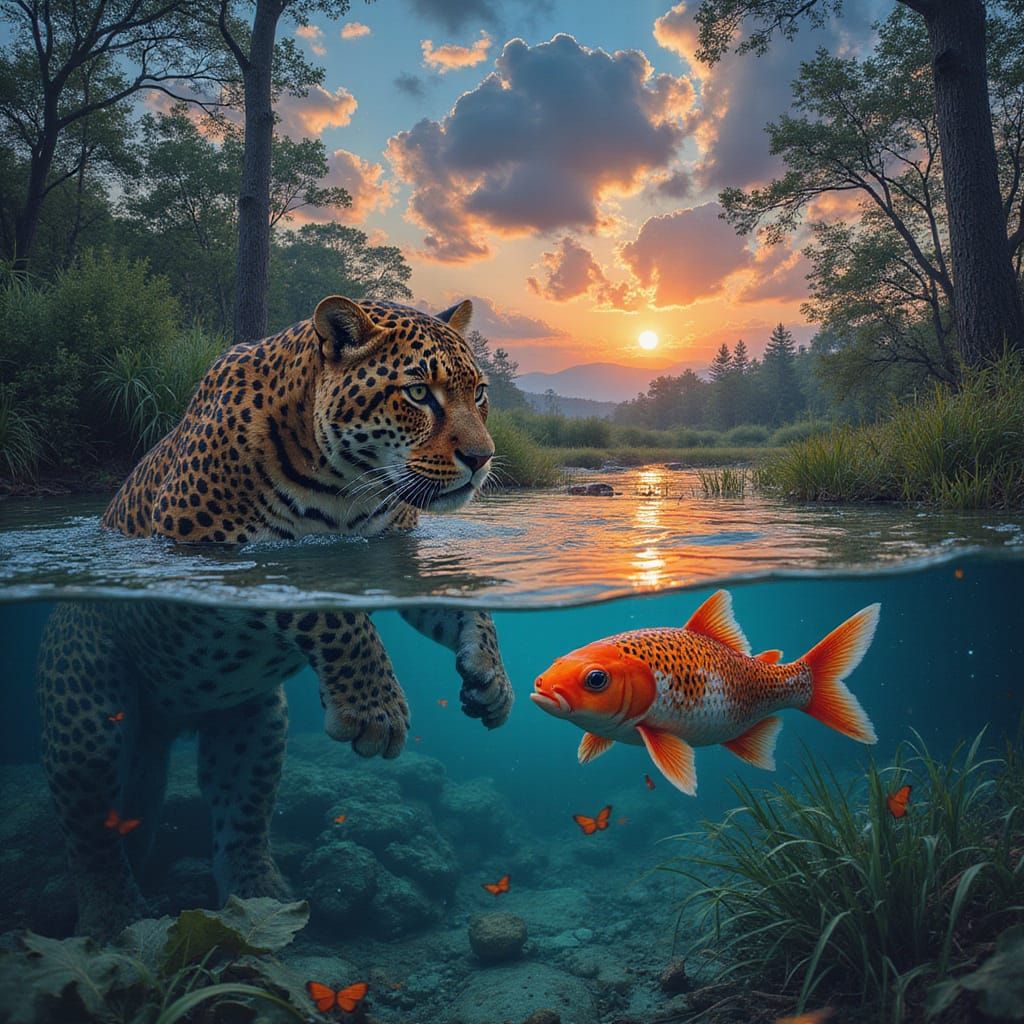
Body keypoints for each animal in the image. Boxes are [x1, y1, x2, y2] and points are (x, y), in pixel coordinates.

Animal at [36, 296, 515, 938]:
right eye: (418, 393)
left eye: (480, 392)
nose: (481, 458)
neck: (347, 486)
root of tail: (165, 724)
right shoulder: (221, 558)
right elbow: (337, 620)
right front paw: (376, 710)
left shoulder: (394, 552)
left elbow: (464, 604)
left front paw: (491, 678)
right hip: (86, 716)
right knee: (91, 834)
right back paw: (114, 919)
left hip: (255, 725)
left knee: (238, 821)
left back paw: (260, 905)